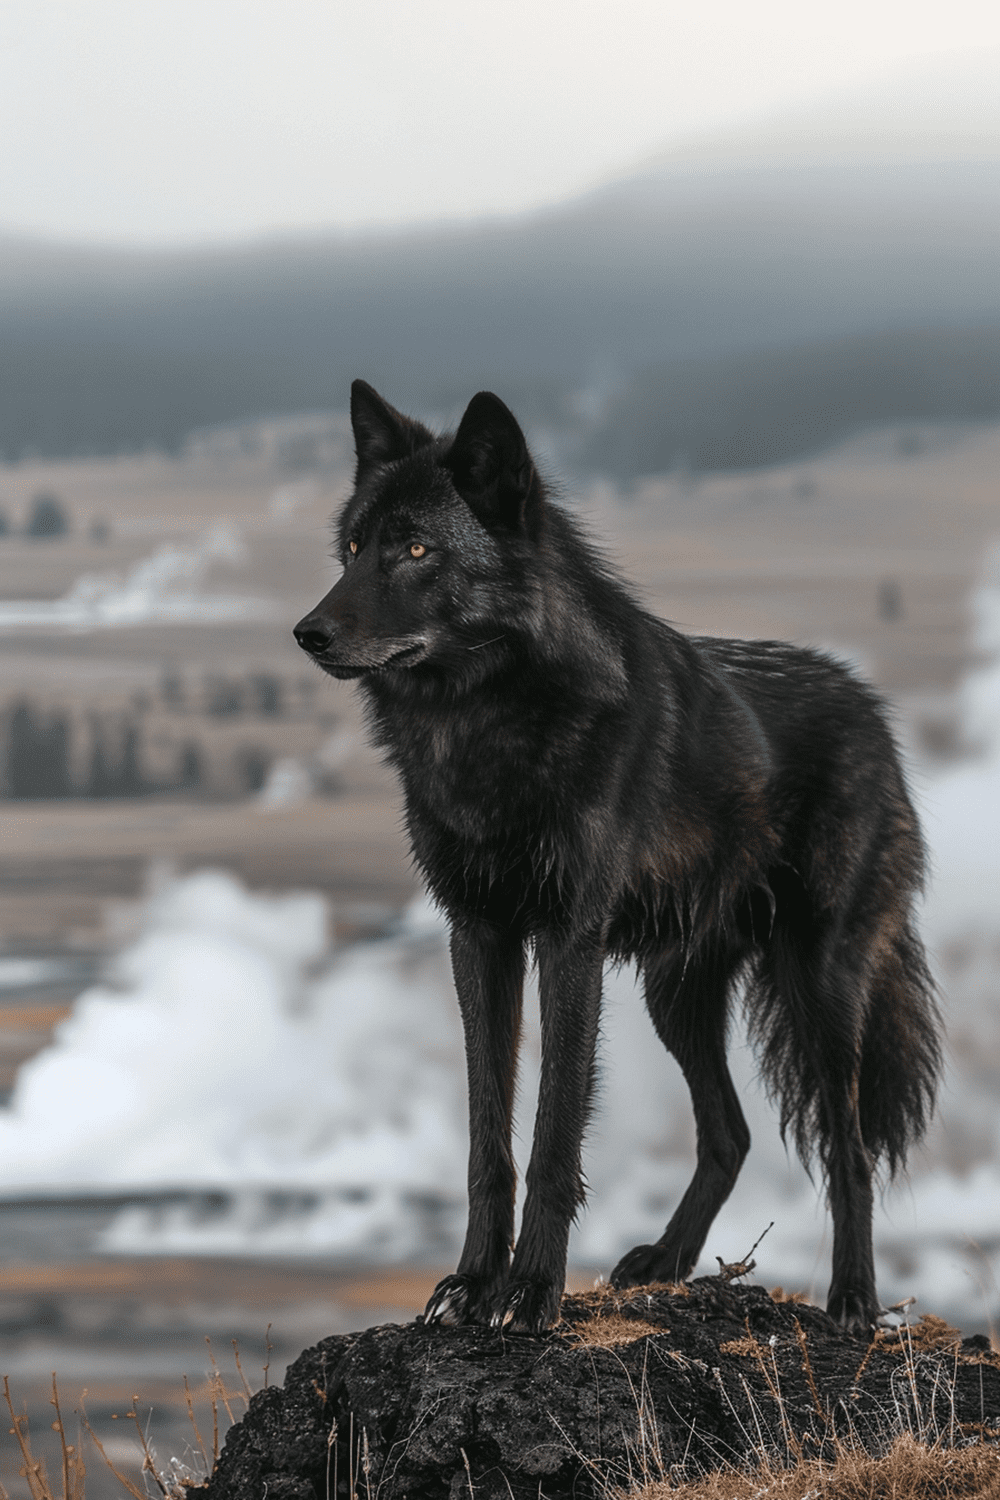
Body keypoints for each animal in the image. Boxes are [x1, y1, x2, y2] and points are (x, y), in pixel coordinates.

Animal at [293, 380, 941, 1336]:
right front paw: (473, 1283)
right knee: (731, 1133)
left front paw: (530, 1291)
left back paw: (853, 1303)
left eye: (414, 549)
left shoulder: (569, 940)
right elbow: (488, 1136)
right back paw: (666, 1262)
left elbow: (554, 1133)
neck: (484, 726)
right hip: (677, 997)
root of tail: (871, 710)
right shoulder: (478, 935)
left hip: (819, 986)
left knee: (847, 1149)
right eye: (350, 548)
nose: (308, 633)